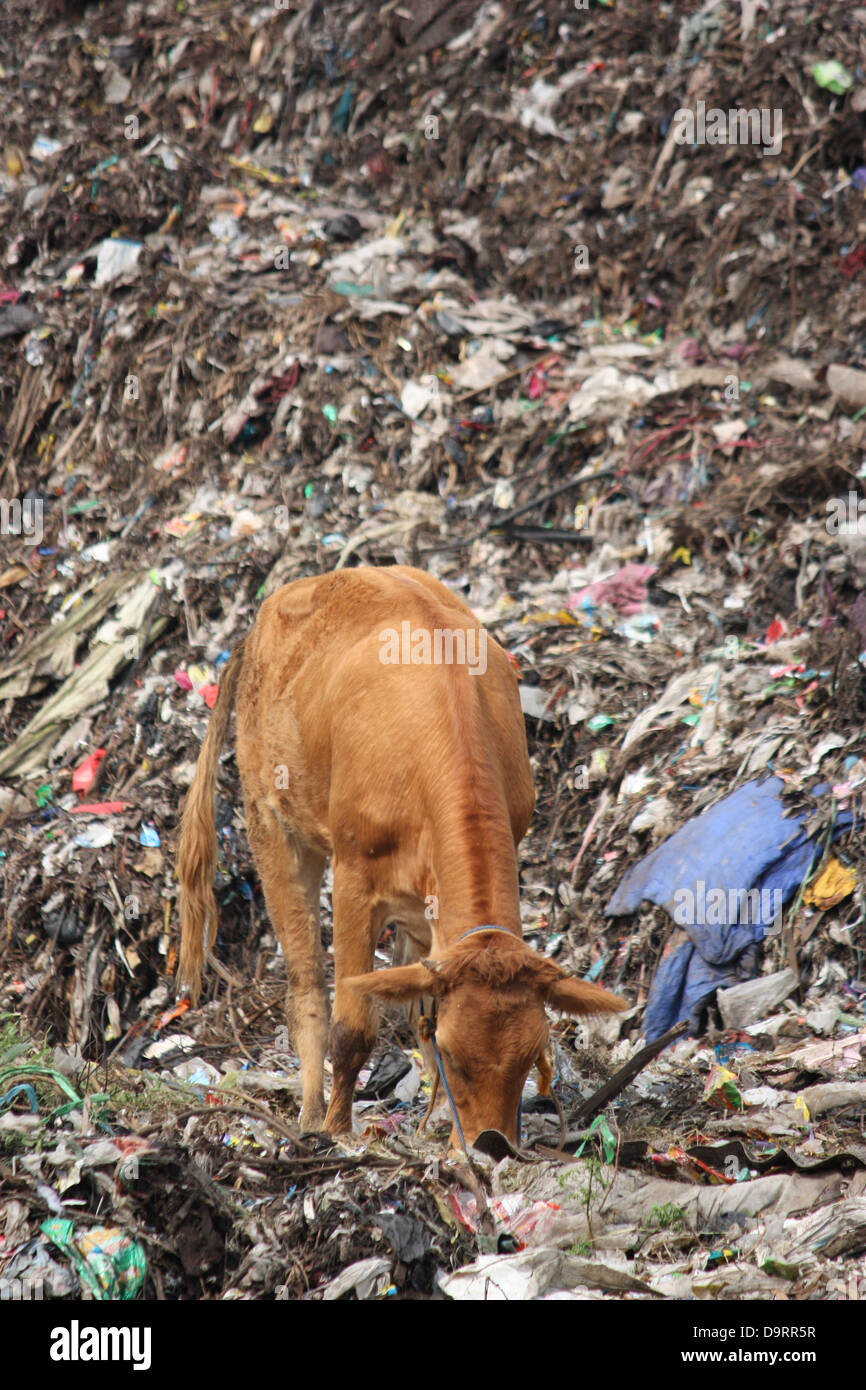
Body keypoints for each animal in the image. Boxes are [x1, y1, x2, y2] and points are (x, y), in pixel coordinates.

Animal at [177, 565, 626, 1148]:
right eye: (456, 1056)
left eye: (532, 1056)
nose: (491, 1146)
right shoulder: (354, 881)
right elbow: (353, 1029)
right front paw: (340, 1131)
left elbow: (421, 1010)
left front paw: (435, 1124)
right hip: (271, 819)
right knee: (306, 985)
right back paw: (309, 1117)